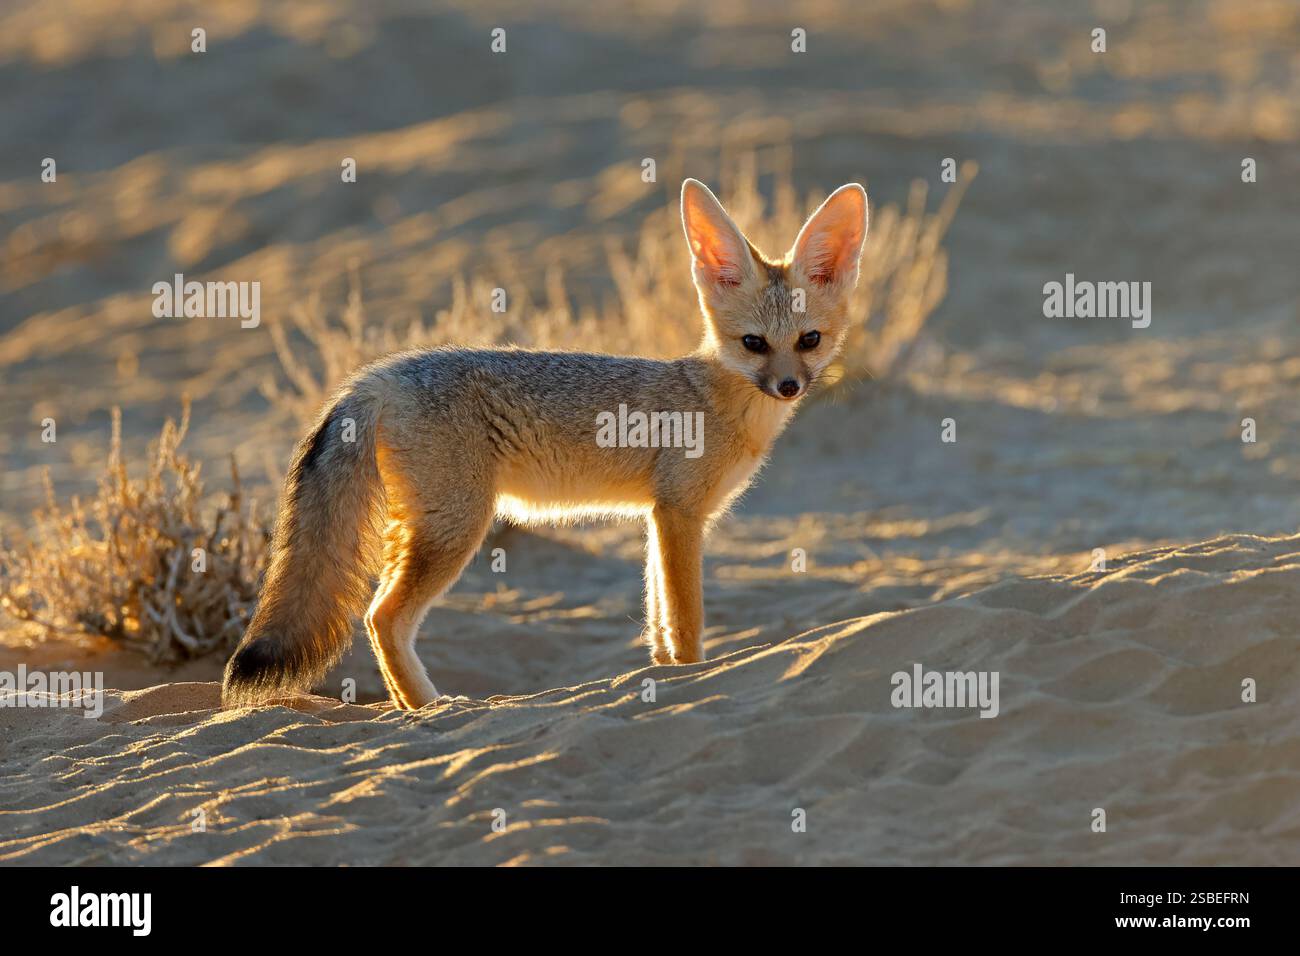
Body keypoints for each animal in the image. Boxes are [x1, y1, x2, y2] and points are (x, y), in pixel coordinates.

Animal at [222, 178, 868, 710]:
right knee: (382, 618)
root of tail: (376, 375)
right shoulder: (681, 514)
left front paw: (664, 673)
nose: (789, 387)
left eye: (809, 340)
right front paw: (692, 675)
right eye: (754, 344)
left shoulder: (659, 516)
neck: (714, 398)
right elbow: (685, 620)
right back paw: (431, 707)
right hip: (457, 529)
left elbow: (657, 616)